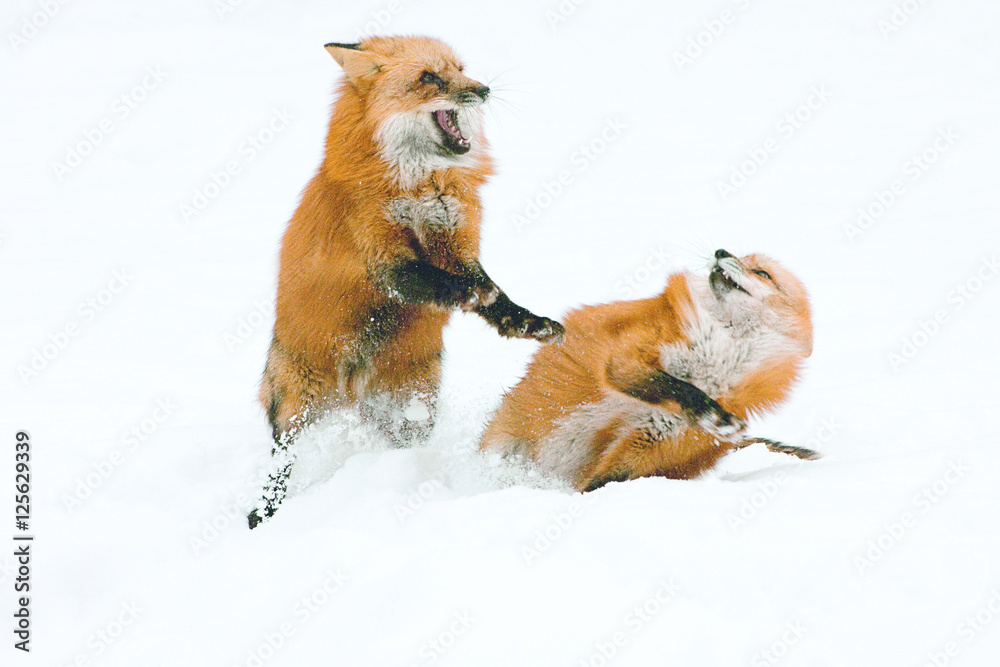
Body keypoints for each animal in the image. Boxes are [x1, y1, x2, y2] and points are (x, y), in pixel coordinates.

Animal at [249, 36, 564, 528]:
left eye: (460, 69)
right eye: (428, 78)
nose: (484, 90)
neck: (420, 181)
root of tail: (351, 394)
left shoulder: (454, 239)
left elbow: (491, 290)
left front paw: (525, 321)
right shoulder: (381, 255)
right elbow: (428, 279)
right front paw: (464, 294)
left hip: (413, 406)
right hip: (293, 407)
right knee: (280, 465)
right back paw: (263, 515)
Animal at [480, 249, 816, 492]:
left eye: (762, 273)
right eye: (742, 257)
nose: (720, 251)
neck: (717, 357)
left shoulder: (651, 441)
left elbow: (607, 480)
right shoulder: (625, 359)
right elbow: (673, 386)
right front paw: (713, 414)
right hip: (504, 447)